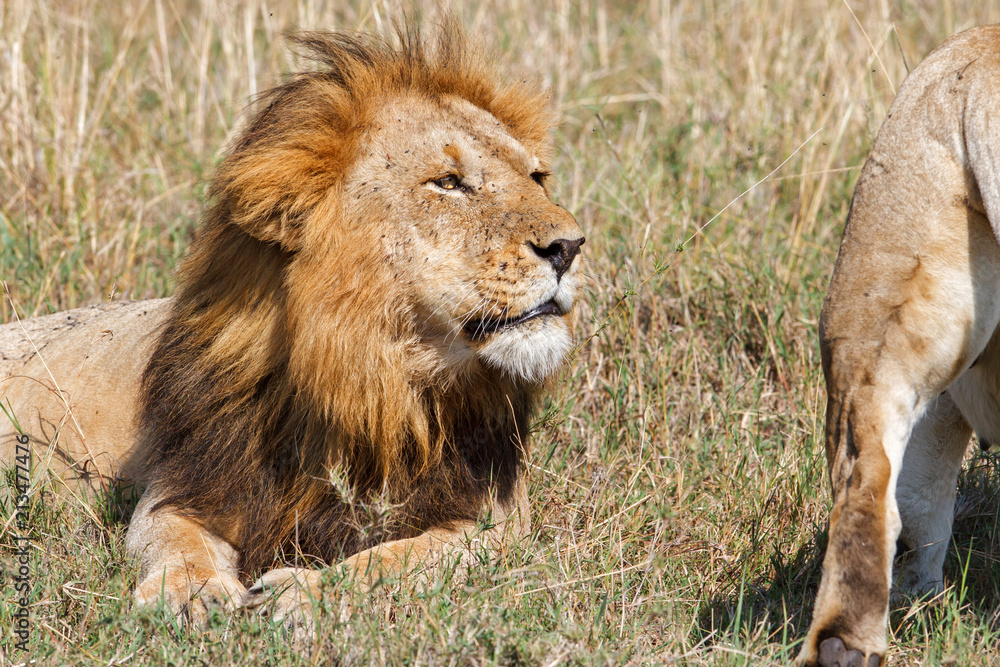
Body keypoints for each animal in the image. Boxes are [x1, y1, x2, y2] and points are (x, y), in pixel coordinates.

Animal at [0, 24, 584, 628]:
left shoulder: (494, 520)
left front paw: (304, 591)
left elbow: (396, 558)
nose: (570, 247)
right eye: (447, 182)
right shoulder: (184, 488)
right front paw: (190, 593)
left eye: (537, 177)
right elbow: (174, 541)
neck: (371, 383)